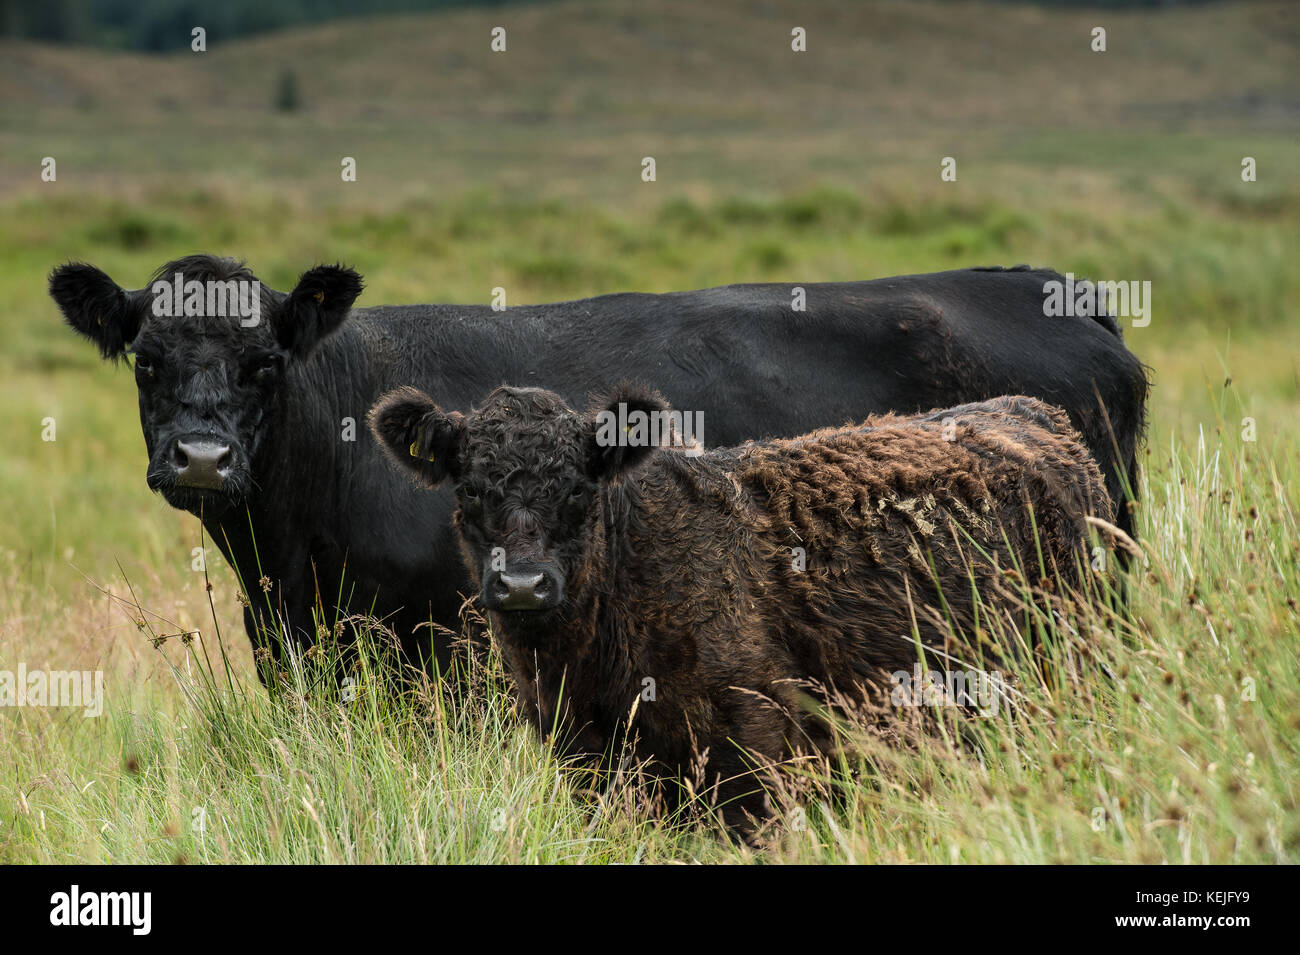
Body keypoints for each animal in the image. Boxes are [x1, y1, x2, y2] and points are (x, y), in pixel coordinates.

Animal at [368, 383, 1114, 832]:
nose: (524, 585)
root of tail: (1024, 412)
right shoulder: (586, 764)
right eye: (469, 489)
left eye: (579, 488)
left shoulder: (755, 754)